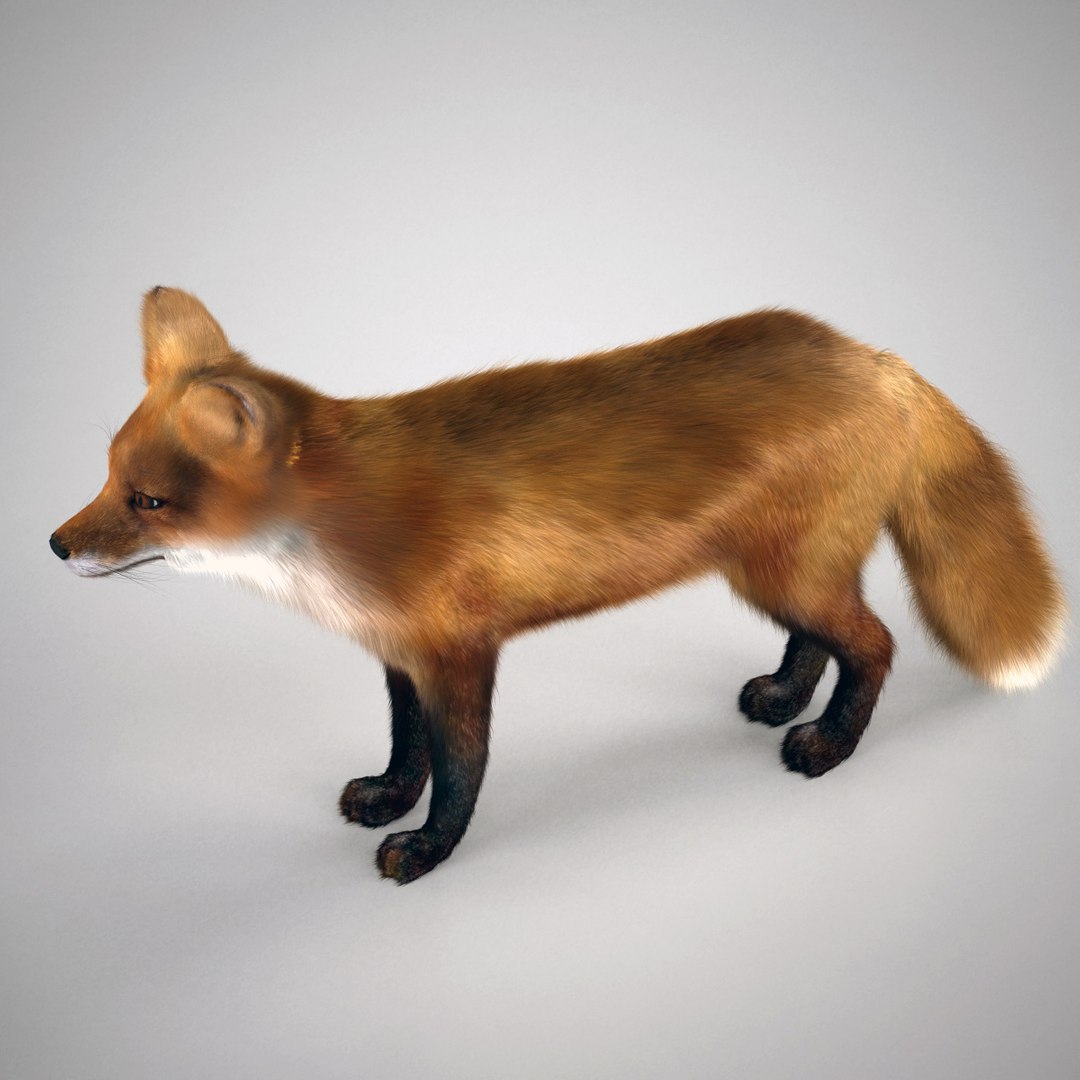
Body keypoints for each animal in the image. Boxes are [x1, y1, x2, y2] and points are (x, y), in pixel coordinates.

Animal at [51, 287, 1066, 883]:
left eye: (148, 501)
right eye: (106, 477)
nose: (56, 546)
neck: (343, 539)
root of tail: (875, 357)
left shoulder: (460, 653)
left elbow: (461, 769)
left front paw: (428, 848)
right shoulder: (398, 653)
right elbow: (407, 749)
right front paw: (387, 797)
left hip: (785, 572)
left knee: (877, 645)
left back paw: (828, 745)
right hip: (785, 575)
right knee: (822, 641)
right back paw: (782, 698)